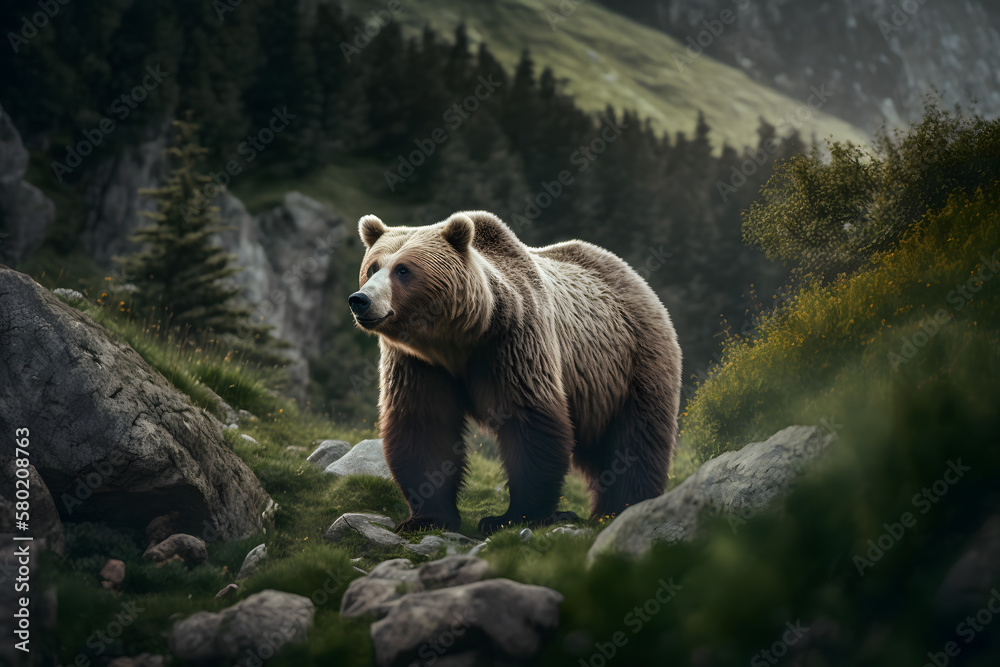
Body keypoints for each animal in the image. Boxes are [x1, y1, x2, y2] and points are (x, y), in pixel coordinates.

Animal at [348, 210, 682, 535]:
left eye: (403, 269)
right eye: (372, 267)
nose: (360, 300)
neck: (457, 339)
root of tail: (636, 278)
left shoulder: (514, 341)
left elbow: (530, 421)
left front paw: (513, 517)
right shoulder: (419, 363)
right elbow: (423, 425)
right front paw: (426, 518)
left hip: (631, 363)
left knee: (636, 440)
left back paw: (623, 507)